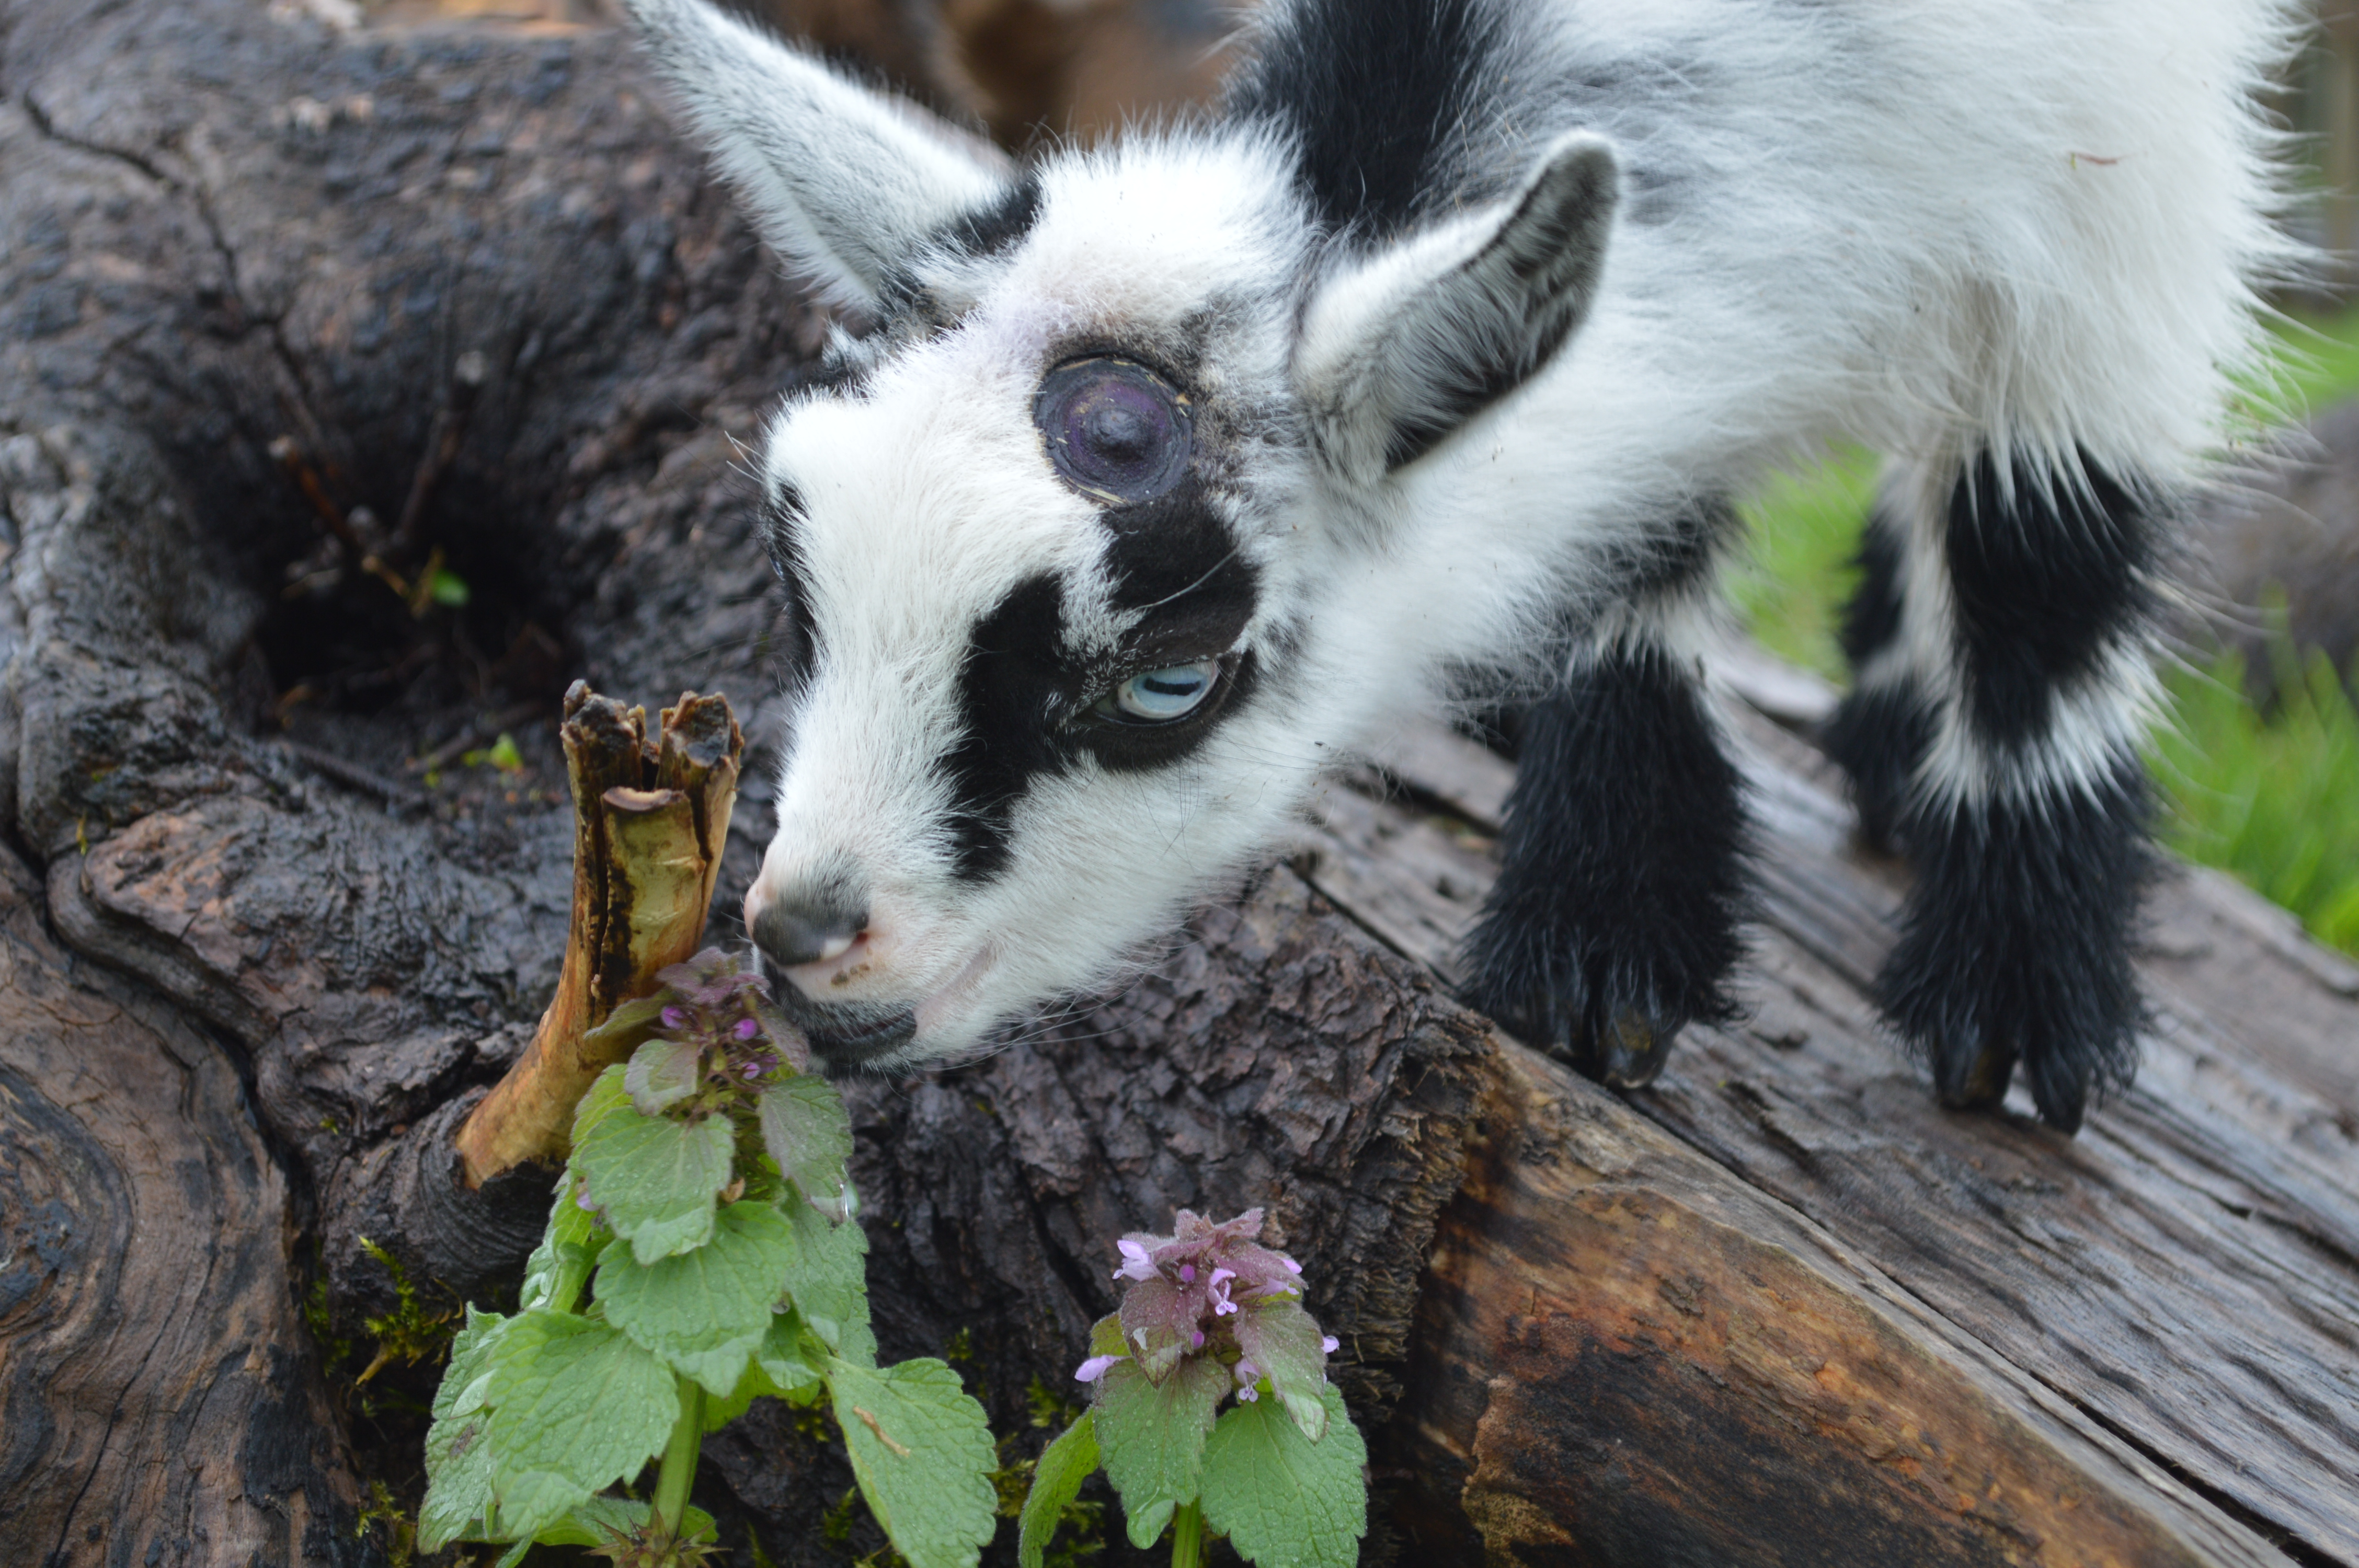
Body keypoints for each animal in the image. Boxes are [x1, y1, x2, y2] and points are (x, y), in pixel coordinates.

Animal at [621, 0, 2303, 1131]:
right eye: (801, 582)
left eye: (1172, 681)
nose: (801, 941)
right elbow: (1624, 505)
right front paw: (1604, 950)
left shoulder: (2129, 164)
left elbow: (2046, 551)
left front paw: (2014, 1008)